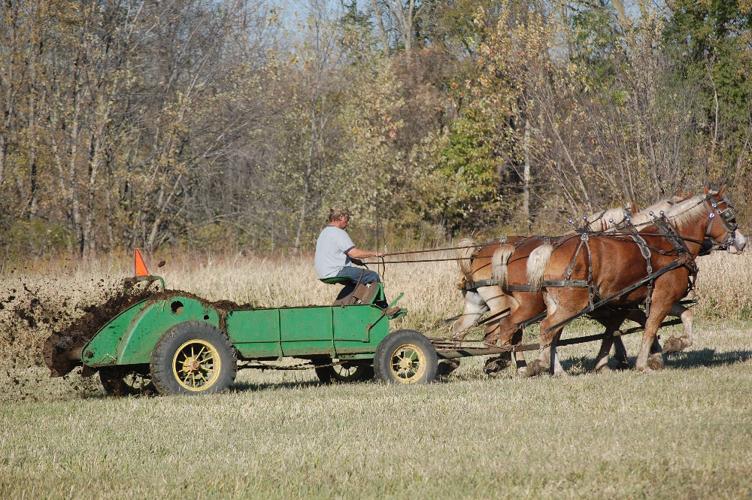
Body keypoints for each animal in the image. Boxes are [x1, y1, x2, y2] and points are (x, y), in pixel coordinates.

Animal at [526, 187, 746, 375]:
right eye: (729, 216)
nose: (742, 243)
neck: (672, 243)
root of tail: (552, 248)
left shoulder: (660, 299)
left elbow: (686, 314)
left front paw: (675, 344)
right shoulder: (662, 299)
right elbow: (650, 328)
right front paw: (643, 364)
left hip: (558, 304)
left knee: (554, 333)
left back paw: (557, 370)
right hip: (572, 305)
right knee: (546, 328)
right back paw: (540, 364)